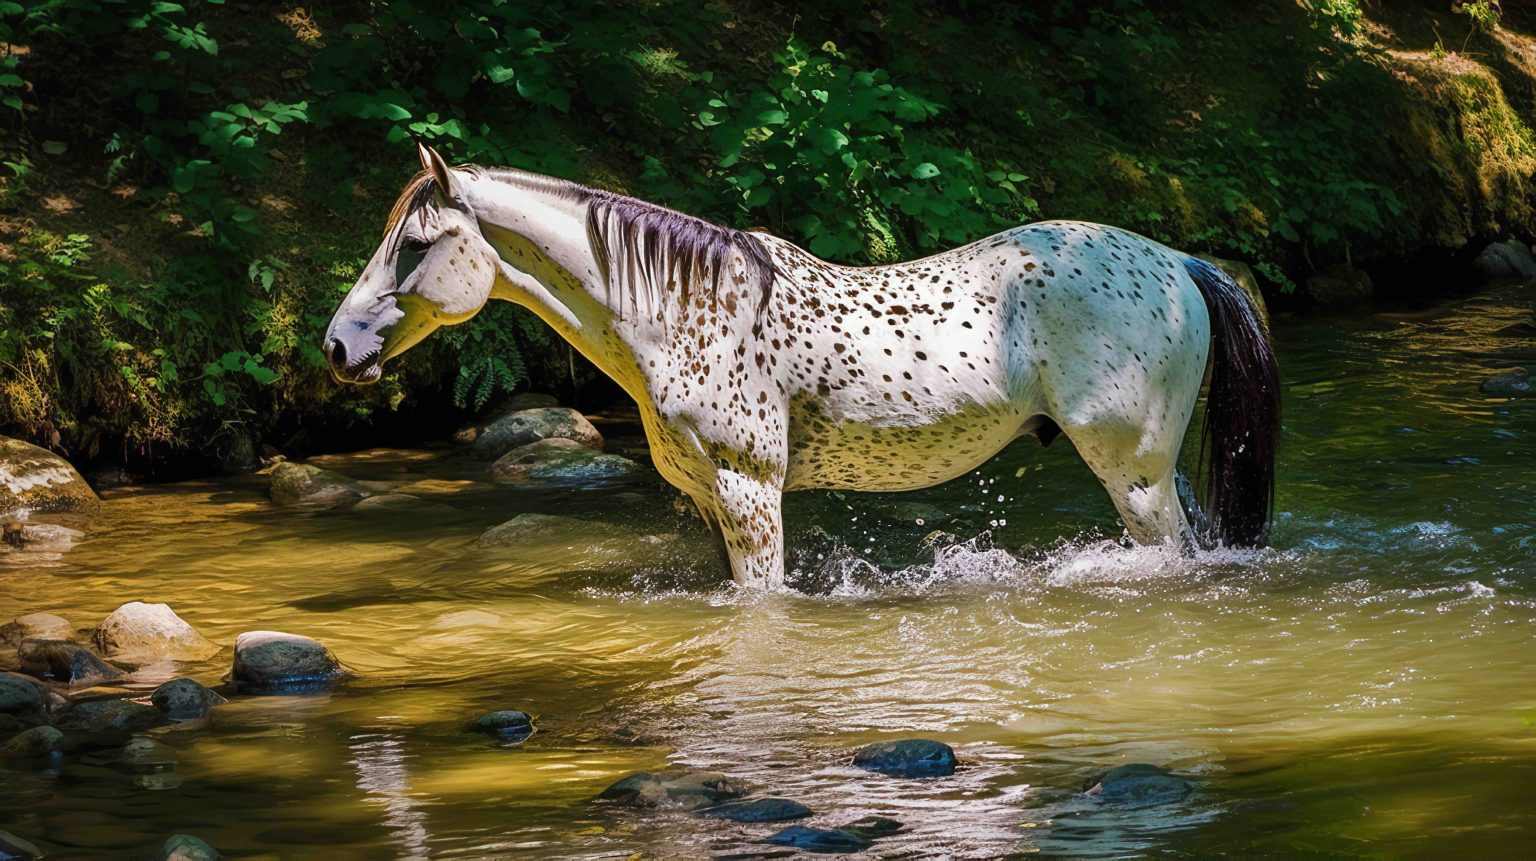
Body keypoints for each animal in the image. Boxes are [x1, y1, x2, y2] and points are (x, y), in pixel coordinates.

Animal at [324, 144, 1280, 589]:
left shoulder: (750, 489)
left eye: (414, 245)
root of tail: (1179, 264)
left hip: (1133, 475)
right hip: (1153, 469)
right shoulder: (713, 499)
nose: (338, 346)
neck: (681, 315)